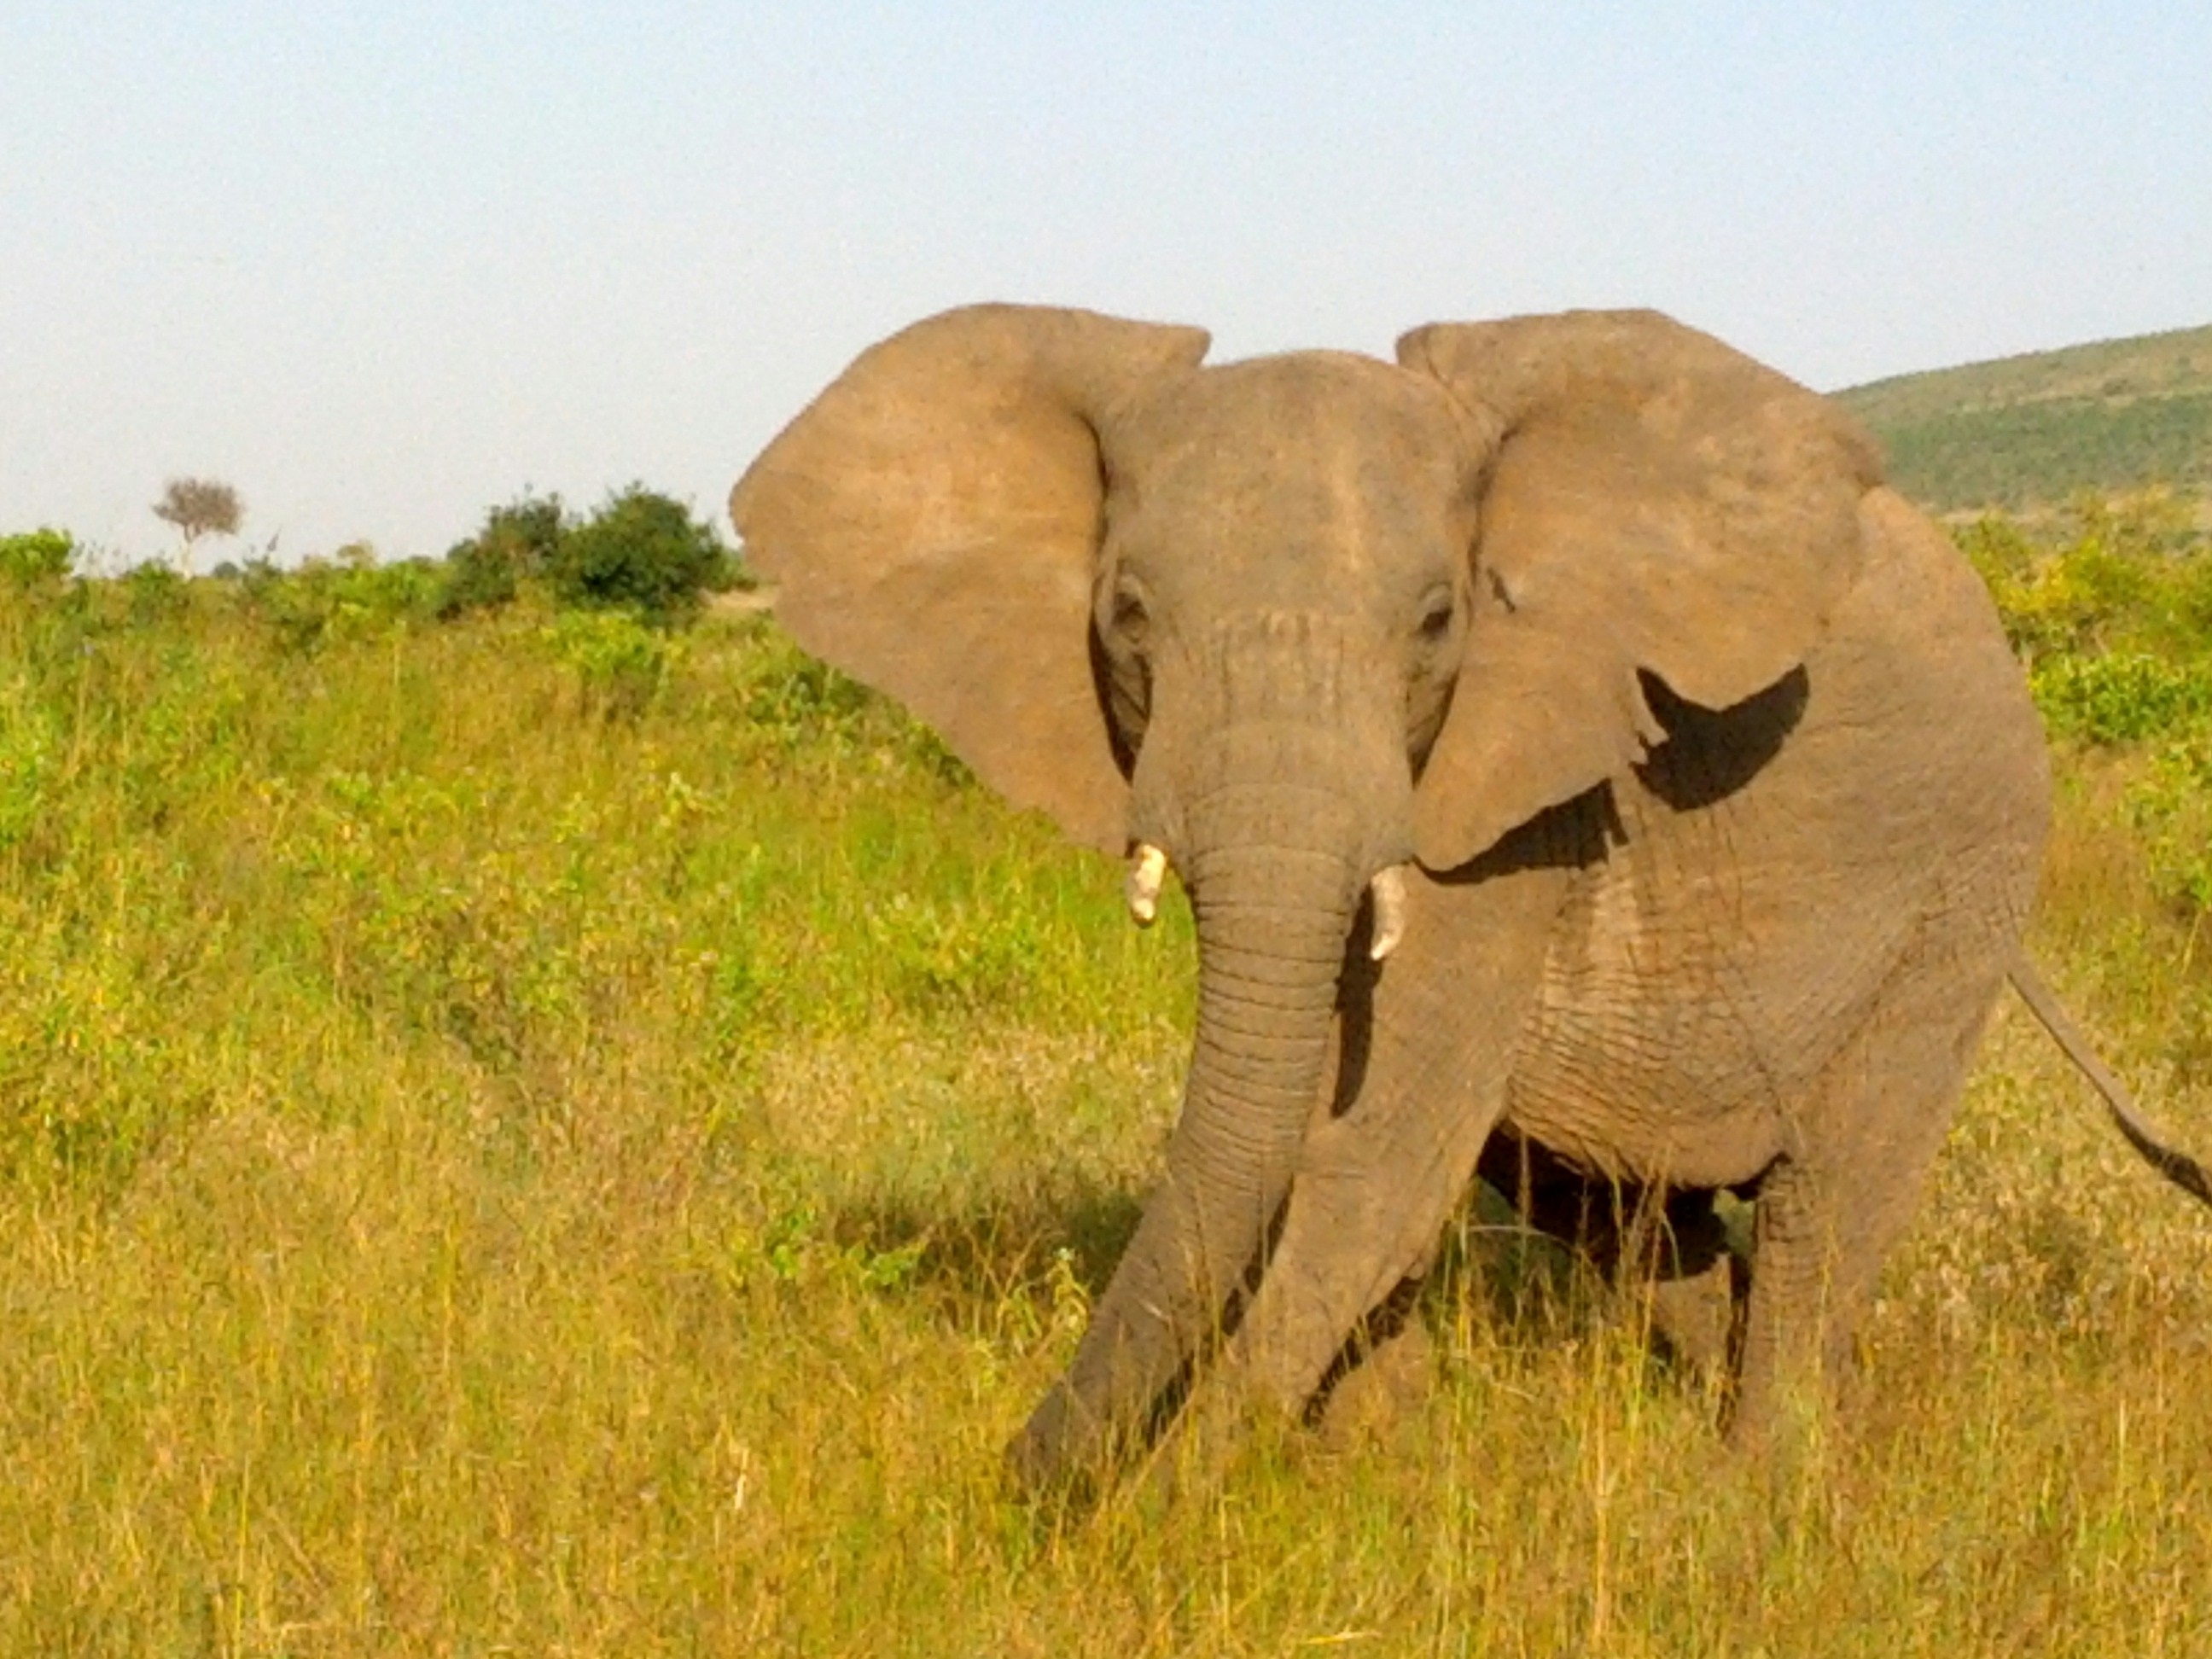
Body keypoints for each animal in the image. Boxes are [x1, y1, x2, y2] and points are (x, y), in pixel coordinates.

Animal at [729, 303, 2212, 1488]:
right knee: (1613, 1204)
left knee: (1827, 1200)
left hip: (1968, 867)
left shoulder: (1513, 797)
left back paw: (1758, 1499)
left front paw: (1175, 1515)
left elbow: (1375, 1153)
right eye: (1128, 617)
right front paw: (1363, 1480)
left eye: (1440, 623)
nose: (1003, 1483)